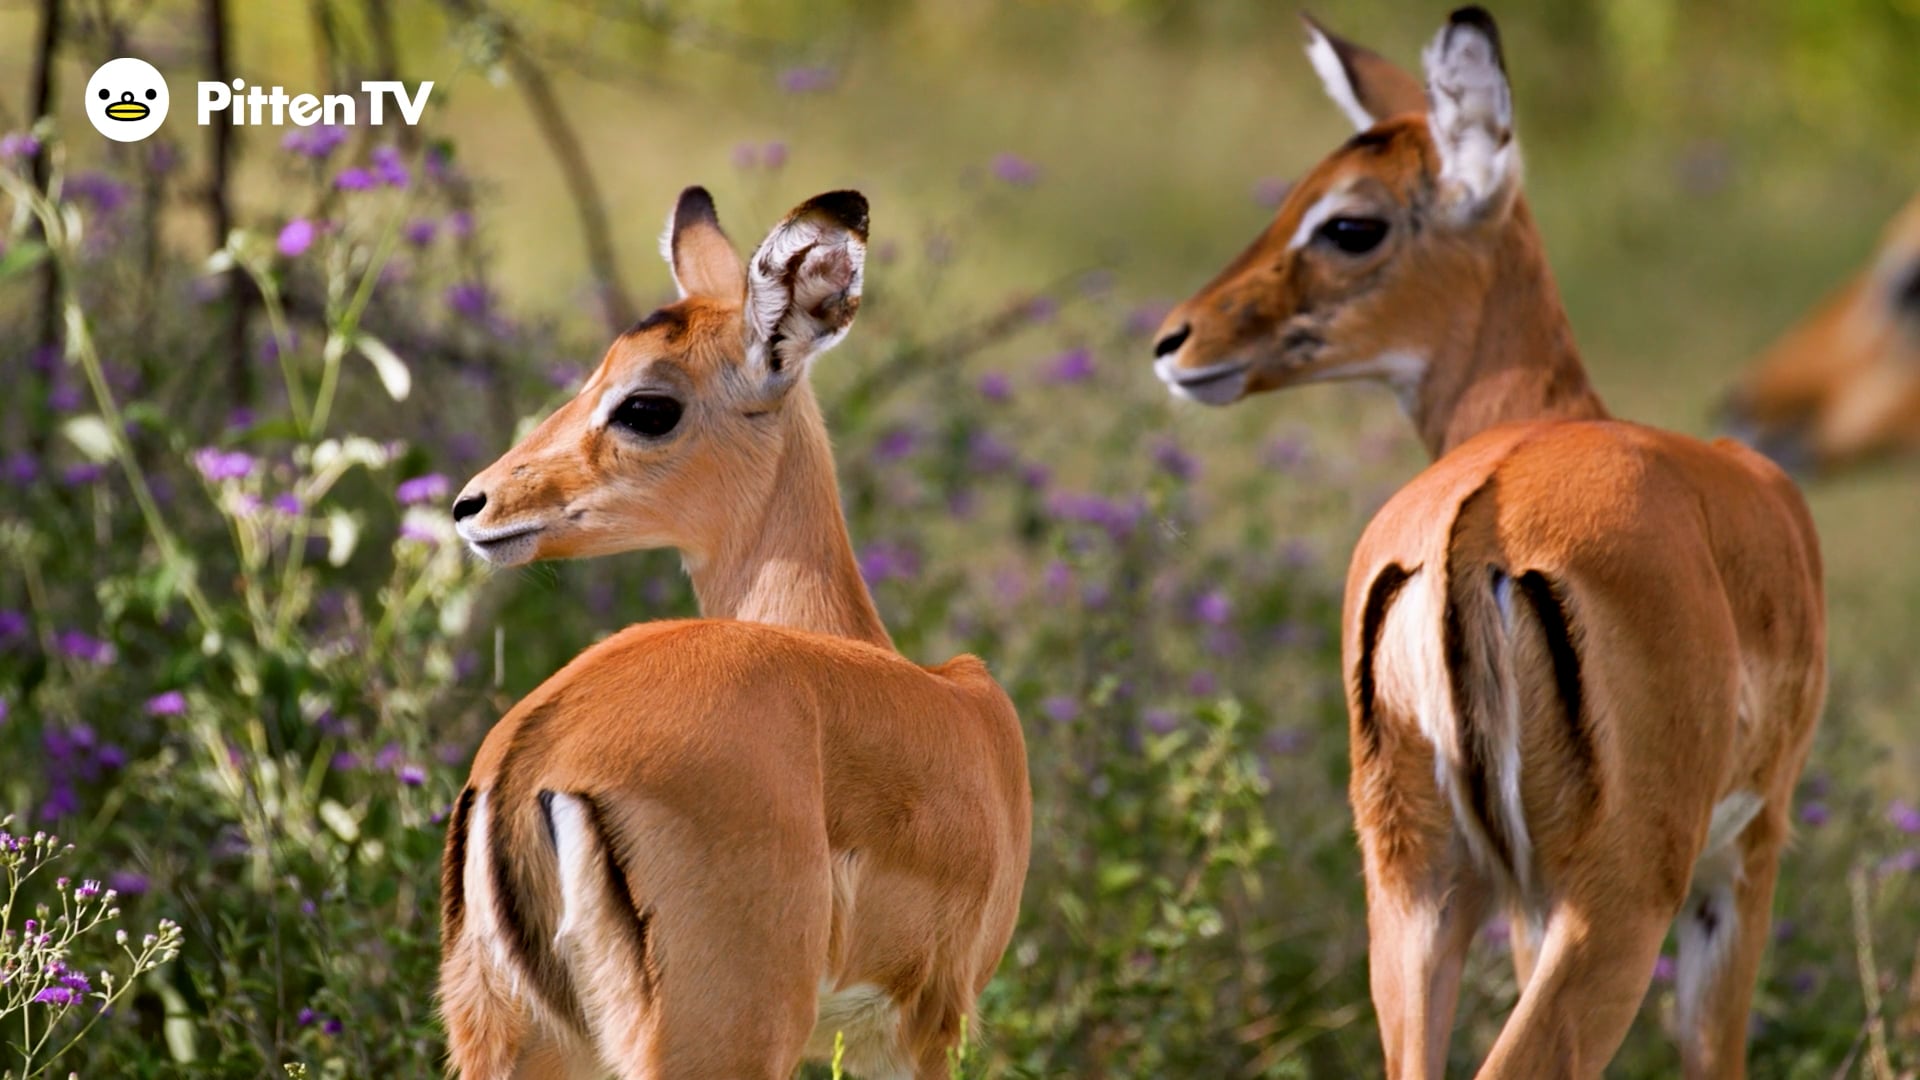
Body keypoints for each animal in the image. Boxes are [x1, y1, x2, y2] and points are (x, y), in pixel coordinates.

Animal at [1151, 9, 1825, 1078]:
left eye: (1348, 221)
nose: (1177, 340)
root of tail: (1479, 519)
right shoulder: (1745, 855)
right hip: (1615, 907)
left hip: (1419, 890)